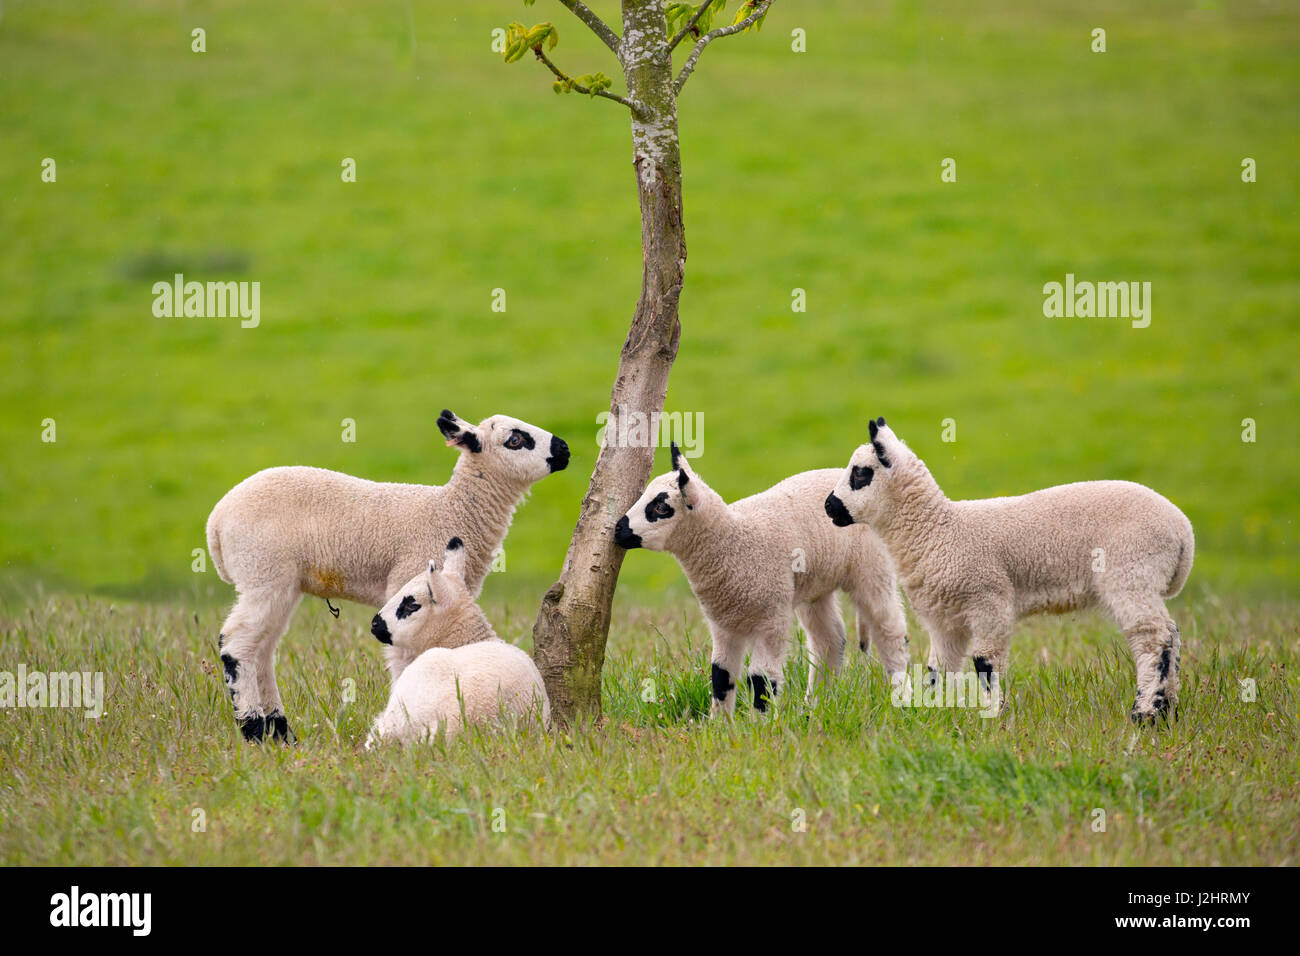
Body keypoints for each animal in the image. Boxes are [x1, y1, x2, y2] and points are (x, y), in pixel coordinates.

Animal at [614, 443, 910, 717]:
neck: (733, 541)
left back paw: (902, 700)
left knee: (891, 632)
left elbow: (761, 679)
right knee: (830, 639)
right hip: (814, 585)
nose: (618, 529)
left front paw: (760, 727)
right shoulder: (723, 623)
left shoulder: (771, 618)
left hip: (872, 568)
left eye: (661, 507)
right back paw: (815, 706)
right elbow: (720, 675)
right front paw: (720, 726)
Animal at [824, 417, 1194, 722]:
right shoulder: (944, 620)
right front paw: (930, 712)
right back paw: (1169, 709)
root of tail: (1183, 531)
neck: (937, 531)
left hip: (1131, 570)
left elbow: (985, 662)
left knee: (1153, 639)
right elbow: (937, 668)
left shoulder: (989, 601)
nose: (828, 506)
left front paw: (992, 716)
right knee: (1171, 634)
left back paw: (1145, 713)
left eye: (860, 473)